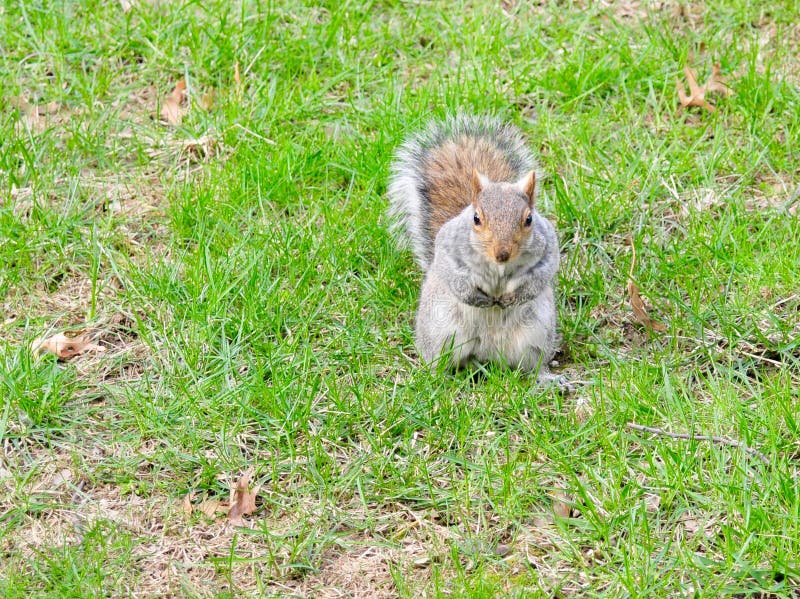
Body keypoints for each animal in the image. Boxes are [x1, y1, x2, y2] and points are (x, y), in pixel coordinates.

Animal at [387, 113, 563, 385]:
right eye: (476, 218)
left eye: (529, 219)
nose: (502, 253)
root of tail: (490, 353)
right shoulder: (448, 251)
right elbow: (455, 278)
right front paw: (478, 298)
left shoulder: (548, 249)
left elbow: (540, 277)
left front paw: (512, 298)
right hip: (442, 331)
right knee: (440, 360)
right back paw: (436, 378)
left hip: (536, 335)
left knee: (533, 365)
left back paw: (546, 379)